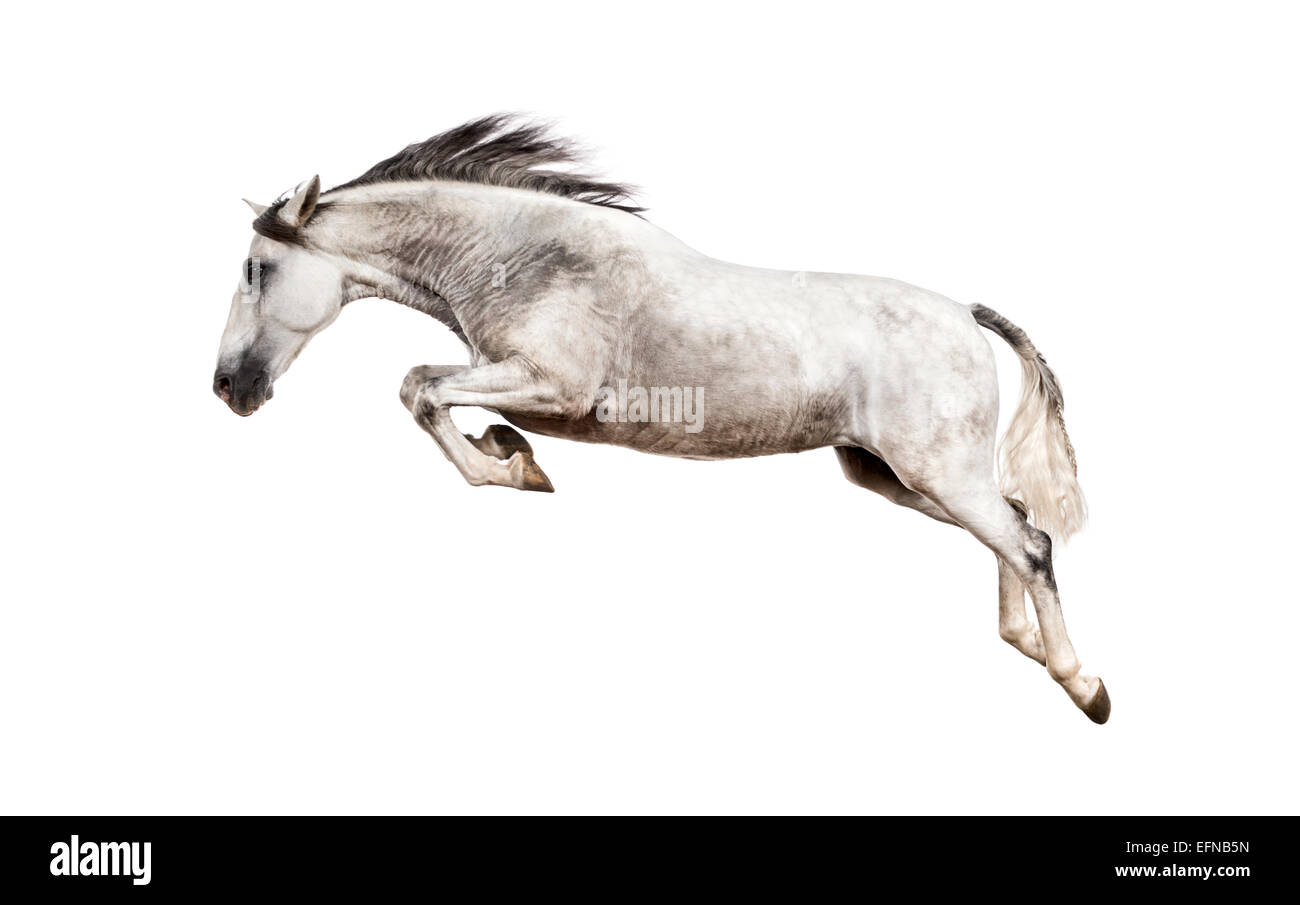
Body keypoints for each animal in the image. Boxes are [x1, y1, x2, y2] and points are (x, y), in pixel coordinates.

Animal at [214, 115, 1105, 723]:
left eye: (258, 269)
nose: (229, 386)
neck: (530, 259)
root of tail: (964, 313)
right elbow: (424, 388)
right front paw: (509, 452)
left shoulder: (554, 388)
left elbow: (420, 389)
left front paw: (515, 463)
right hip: (891, 474)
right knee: (1012, 527)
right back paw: (1024, 644)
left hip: (935, 471)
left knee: (1029, 541)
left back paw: (1084, 684)